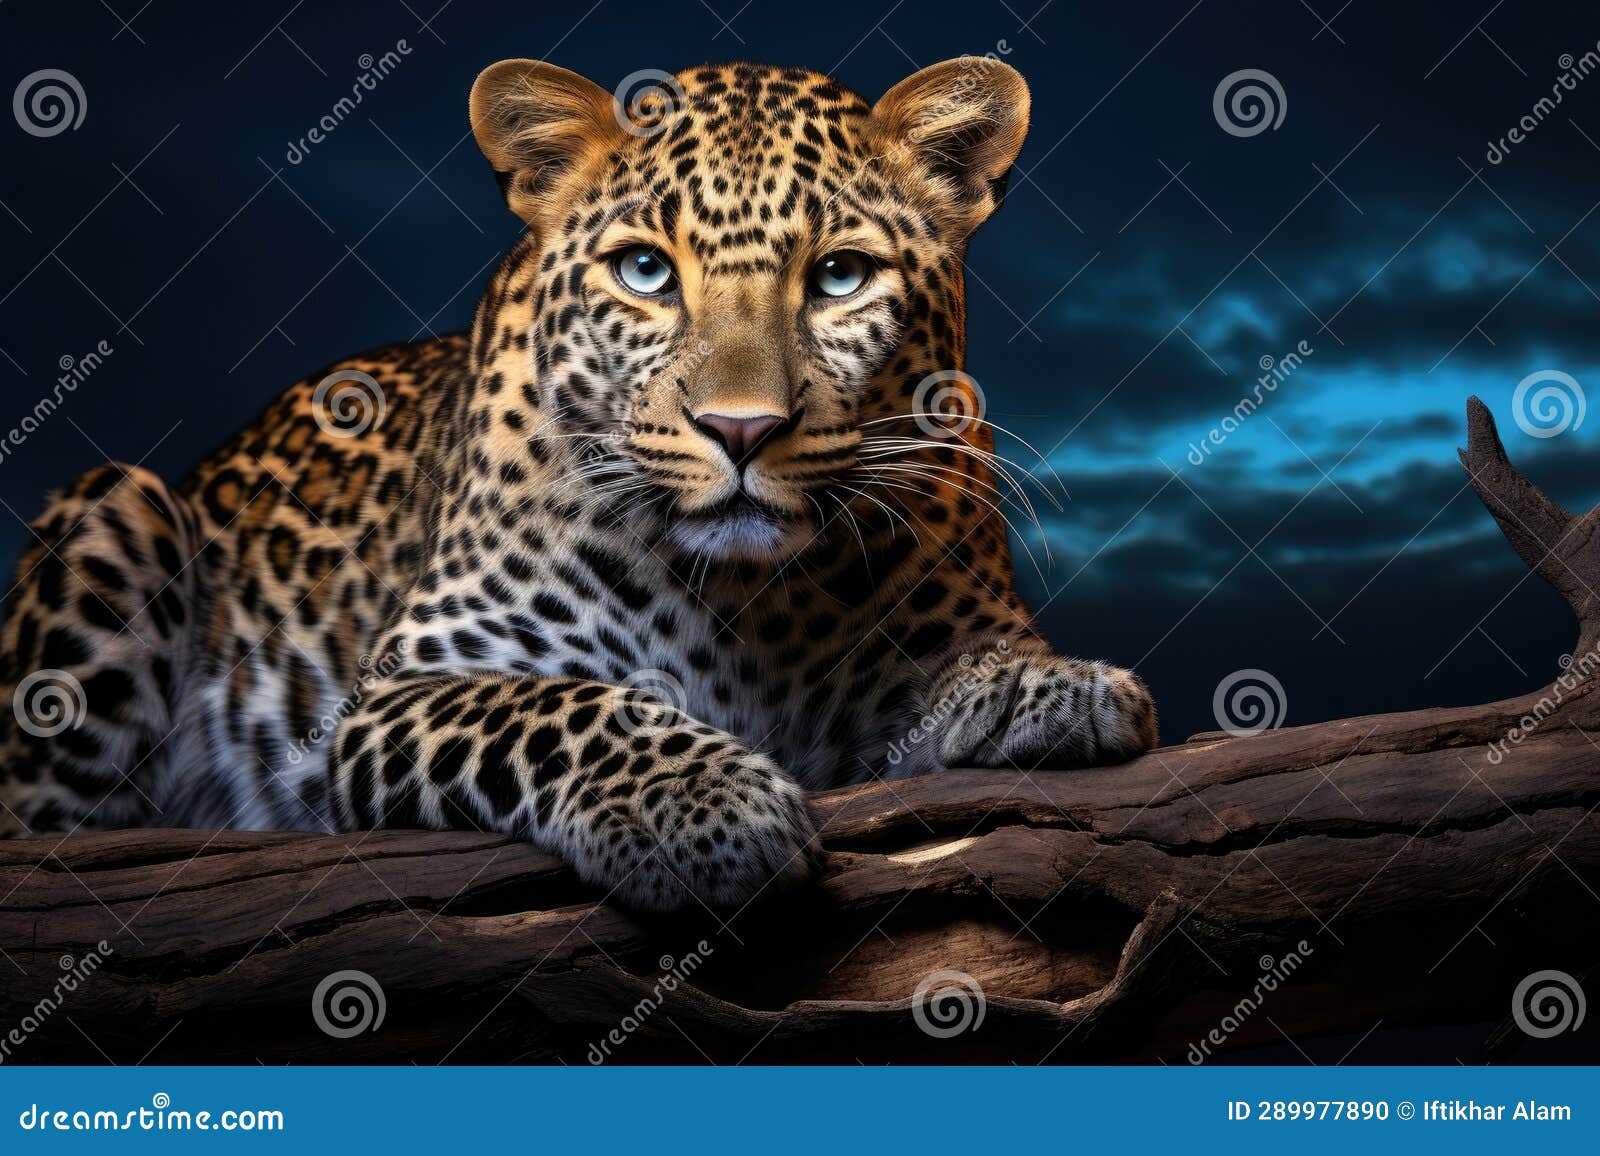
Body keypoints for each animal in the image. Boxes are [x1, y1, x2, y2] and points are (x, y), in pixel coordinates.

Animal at [0, 58, 1158, 910]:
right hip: (117, 507)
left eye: (839, 276)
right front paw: (701, 804)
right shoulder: (403, 686)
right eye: (645, 271)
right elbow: (557, 704)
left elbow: (971, 667)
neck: (755, 606)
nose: (742, 429)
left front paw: (1052, 689)